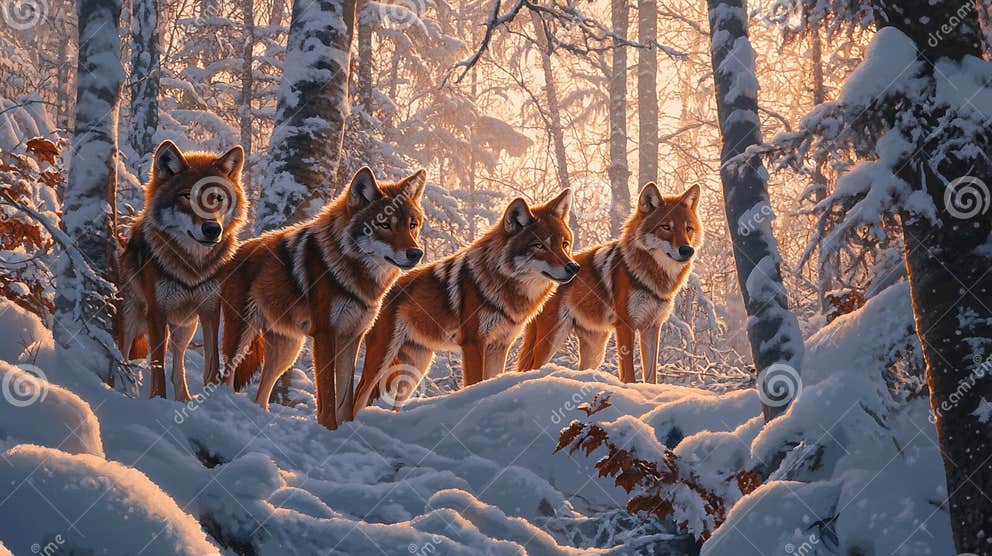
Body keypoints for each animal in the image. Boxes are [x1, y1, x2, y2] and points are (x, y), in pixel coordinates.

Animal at [118, 140, 247, 400]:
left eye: (217, 197)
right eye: (187, 196)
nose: (212, 230)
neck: (193, 266)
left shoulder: (210, 310)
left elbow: (212, 363)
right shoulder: (157, 313)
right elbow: (157, 368)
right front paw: (157, 400)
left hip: (185, 327)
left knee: (178, 364)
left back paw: (184, 397)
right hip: (132, 316)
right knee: (124, 354)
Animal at [220, 167, 427, 429]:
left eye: (412, 225)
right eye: (384, 224)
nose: (416, 253)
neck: (357, 277)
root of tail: (237, 250)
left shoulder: (352, 337)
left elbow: (346, 395)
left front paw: (345, 429)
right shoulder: (325, 334)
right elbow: (328, 392)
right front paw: (328, 427)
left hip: (288, 351)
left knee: (262, 394)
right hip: (241, 336)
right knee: (222, 379)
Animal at [353, 189, 579, 413]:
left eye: (564, 244)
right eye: (540, 246)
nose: (573, 267)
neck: (506, 286)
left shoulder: (499, 346)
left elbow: (491, 380)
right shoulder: (473, 343)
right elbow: (475, 381)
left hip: (416, 367)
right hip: (383, 357)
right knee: (358, 396)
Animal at [516, 183, 703, 383]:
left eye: (688, 228)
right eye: (666, 227)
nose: (687, 250)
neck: (653, 277)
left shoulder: (652, 327)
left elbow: (651, 375)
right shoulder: (625, 325)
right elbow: (629, 373)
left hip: (596, 349)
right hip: (552, 339)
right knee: (532, 367)